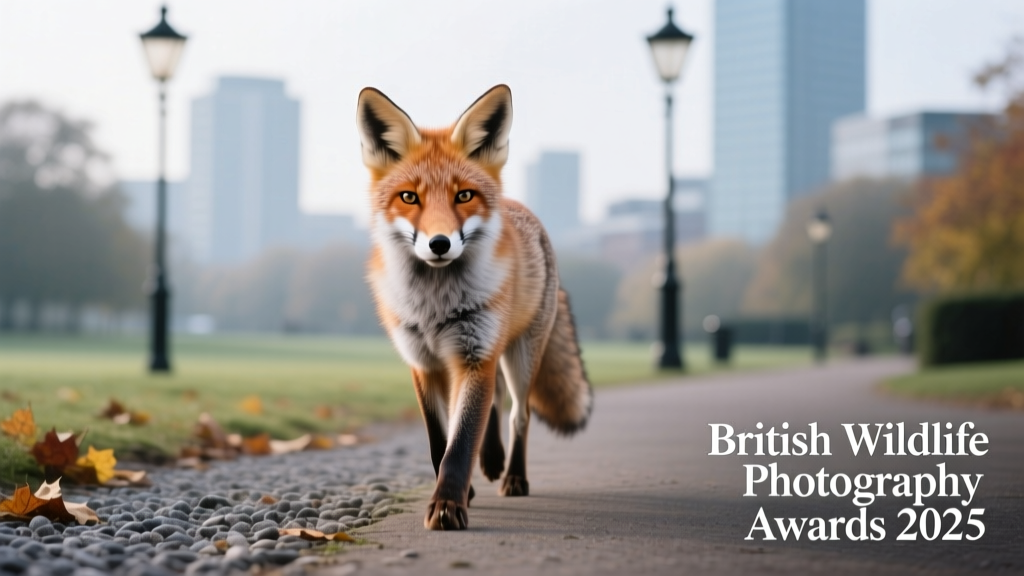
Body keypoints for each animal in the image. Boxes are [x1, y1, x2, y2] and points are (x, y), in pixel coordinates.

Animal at [355, 85, 593, 530]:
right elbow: (441, 442)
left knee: (519, 414)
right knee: (496, 402)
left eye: (463, 195)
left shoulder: (474, 355)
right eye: (409, 197)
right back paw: (493, 460)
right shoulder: (425, 364)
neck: (435, 306)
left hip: (519, 356)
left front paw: (448, 505)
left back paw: (513, 475)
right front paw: (456, 494)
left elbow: (461, 442)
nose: (440, 243)